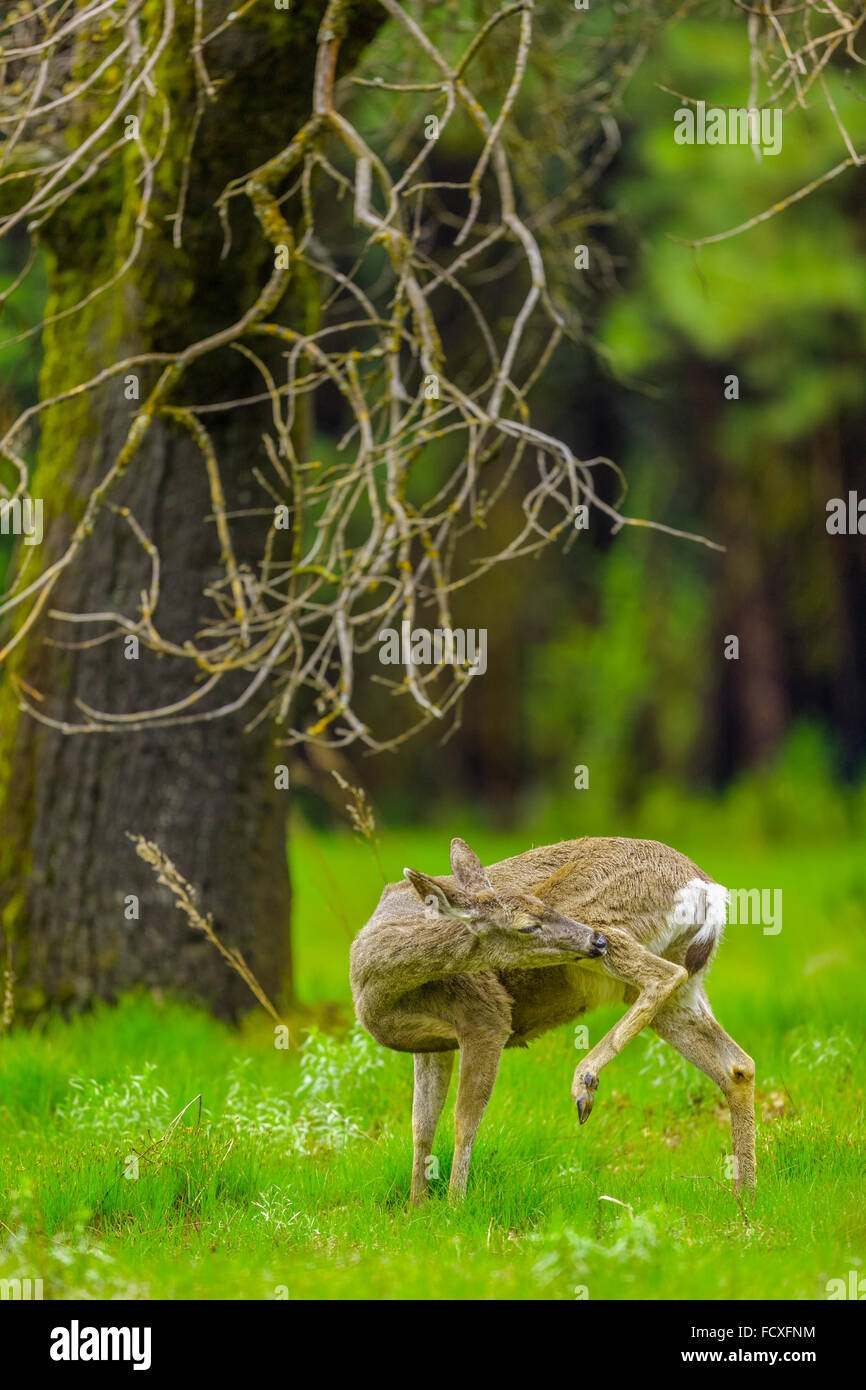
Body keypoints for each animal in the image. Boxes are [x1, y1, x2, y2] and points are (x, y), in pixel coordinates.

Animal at [350, 836, 755, 1204]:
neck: (378, 991)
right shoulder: (432, 1045)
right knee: (736, 1065)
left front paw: (454, 1206)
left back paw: (584, 1083)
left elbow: (464, 1117)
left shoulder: (486, 1017)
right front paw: (416, 1208)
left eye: (540, 904)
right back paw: (745, 1197)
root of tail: (707, 887)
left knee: (664, 975)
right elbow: (421, 1123)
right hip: (679, 981)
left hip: (601, 919)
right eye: (528, 924)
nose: (596, 942)